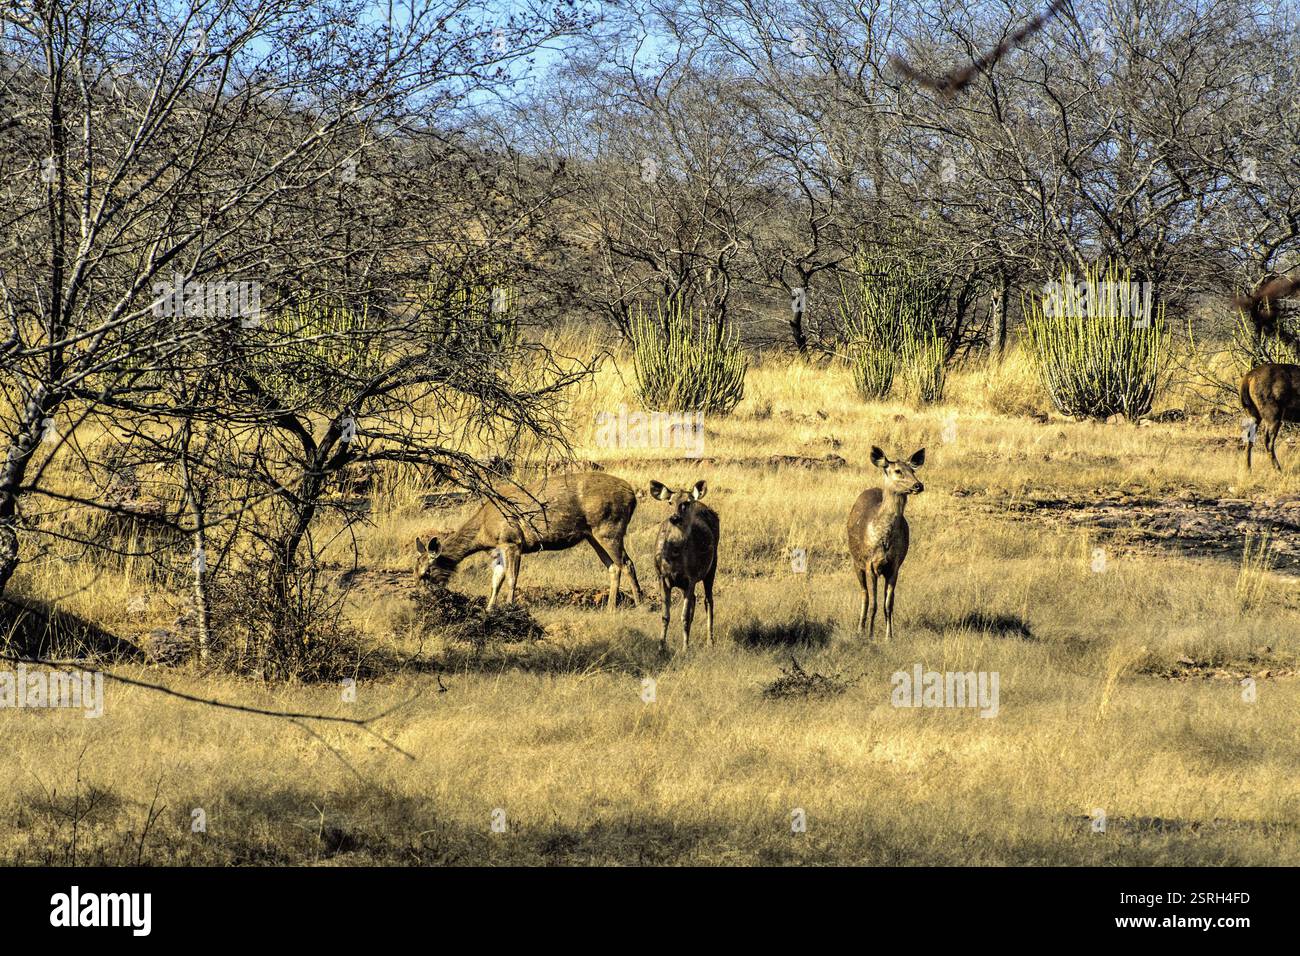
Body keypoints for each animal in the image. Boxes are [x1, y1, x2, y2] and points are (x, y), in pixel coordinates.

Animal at [414, 471, 643, 612]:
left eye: (427, 572)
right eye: (414, 572)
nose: (423, 598)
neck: (484, 530)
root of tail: (632, 495)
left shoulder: (512, 541)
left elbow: (511, 579)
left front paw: (509, 607)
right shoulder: (496, 551)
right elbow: (495, 581)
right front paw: (489, 609)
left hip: (609, 527)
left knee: (626, 563)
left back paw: (637, 605)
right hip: (593, 534)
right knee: (614, 566)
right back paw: (613, 606)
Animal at [649, 479, 718, 651]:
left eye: (686, 503)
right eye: (670, 502)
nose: (674, 518)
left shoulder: (691, 577)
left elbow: (684, 616)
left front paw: (685, 648)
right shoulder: (662, 577)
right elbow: (665, 616)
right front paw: (661, 647)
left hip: (712, 565)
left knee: (708, 600)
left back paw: (710, 641)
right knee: (694, 599)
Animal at [847, 447, 925, 641]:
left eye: (913, 470)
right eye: (898, 470)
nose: (918, 485)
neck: (885, 539)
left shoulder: (894, 565)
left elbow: (888, 604)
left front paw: (889, 636)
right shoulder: (870, 564)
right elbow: (874, 603)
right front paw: (870, 635)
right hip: (856, 562)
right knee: (865, 595)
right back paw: (860, 629)